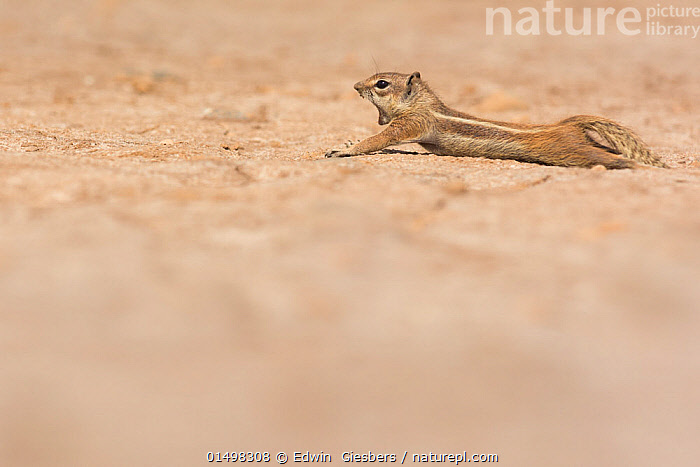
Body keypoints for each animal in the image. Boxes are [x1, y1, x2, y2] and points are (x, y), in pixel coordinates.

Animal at [325, 71, 666, 169]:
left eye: (381, 84)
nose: (355, 86)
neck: (423, 103)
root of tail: (569, 124)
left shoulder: (410, 125)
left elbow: (379, 139)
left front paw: (344, 150)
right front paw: (347, 141)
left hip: (569, 152)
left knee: (609, 158)